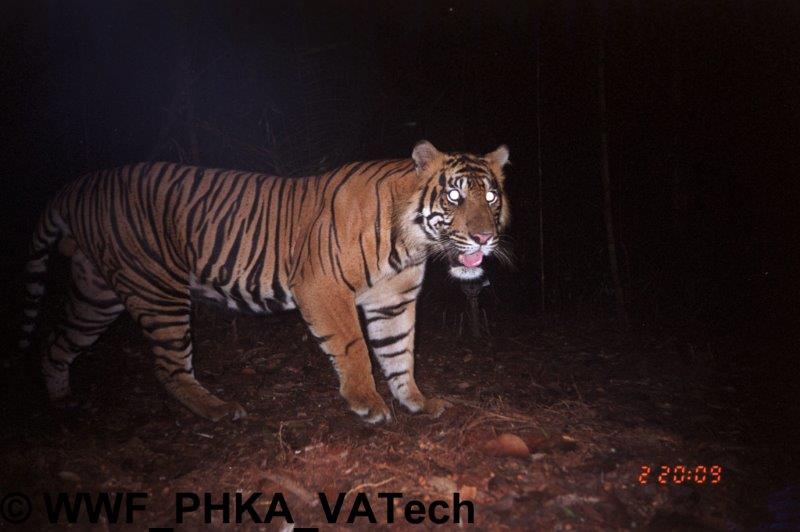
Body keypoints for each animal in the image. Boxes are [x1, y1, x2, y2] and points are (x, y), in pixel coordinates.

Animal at [19, 141, 510, 423]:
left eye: (490, 196)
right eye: (454, 195)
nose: (485, 237)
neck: (412, 242)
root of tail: (80, 185)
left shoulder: (393, 299)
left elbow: (399, 353)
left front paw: (416, 402)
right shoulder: (323, 287)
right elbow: (354, 348)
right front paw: (366, 402)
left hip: (99, 293)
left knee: (56, 343)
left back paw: (60, 400)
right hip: (158, 291)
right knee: (169, 367)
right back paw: (219, 410)